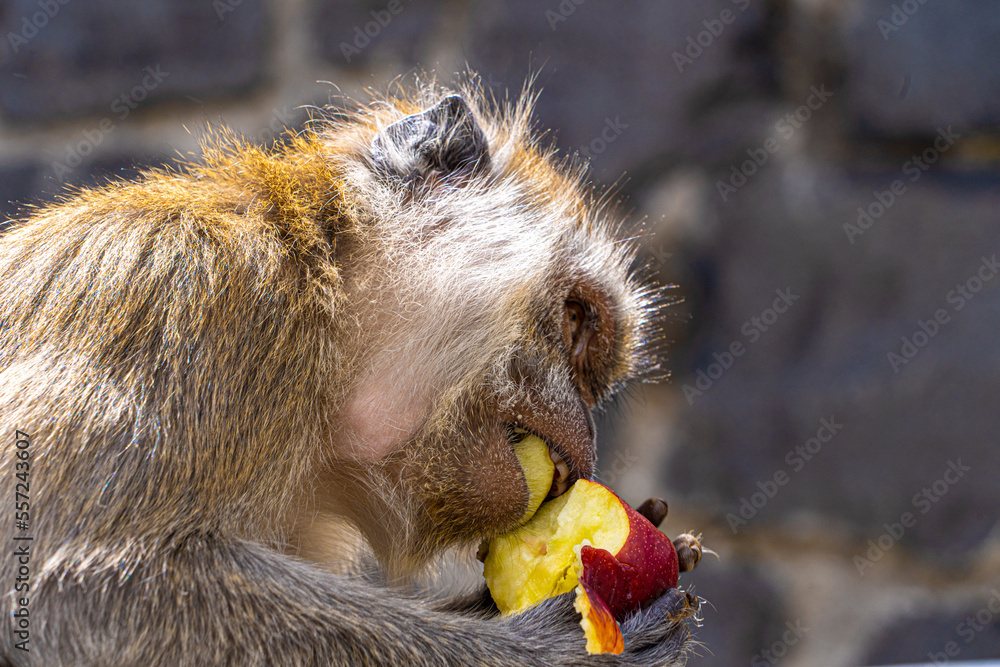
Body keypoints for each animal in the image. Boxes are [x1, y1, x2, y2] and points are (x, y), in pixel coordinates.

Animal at [0, 76, 699, 666]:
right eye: (576, 318)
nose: (588, 434)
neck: (321, 292)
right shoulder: (190, 293)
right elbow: (81, 589)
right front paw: (543, 651)